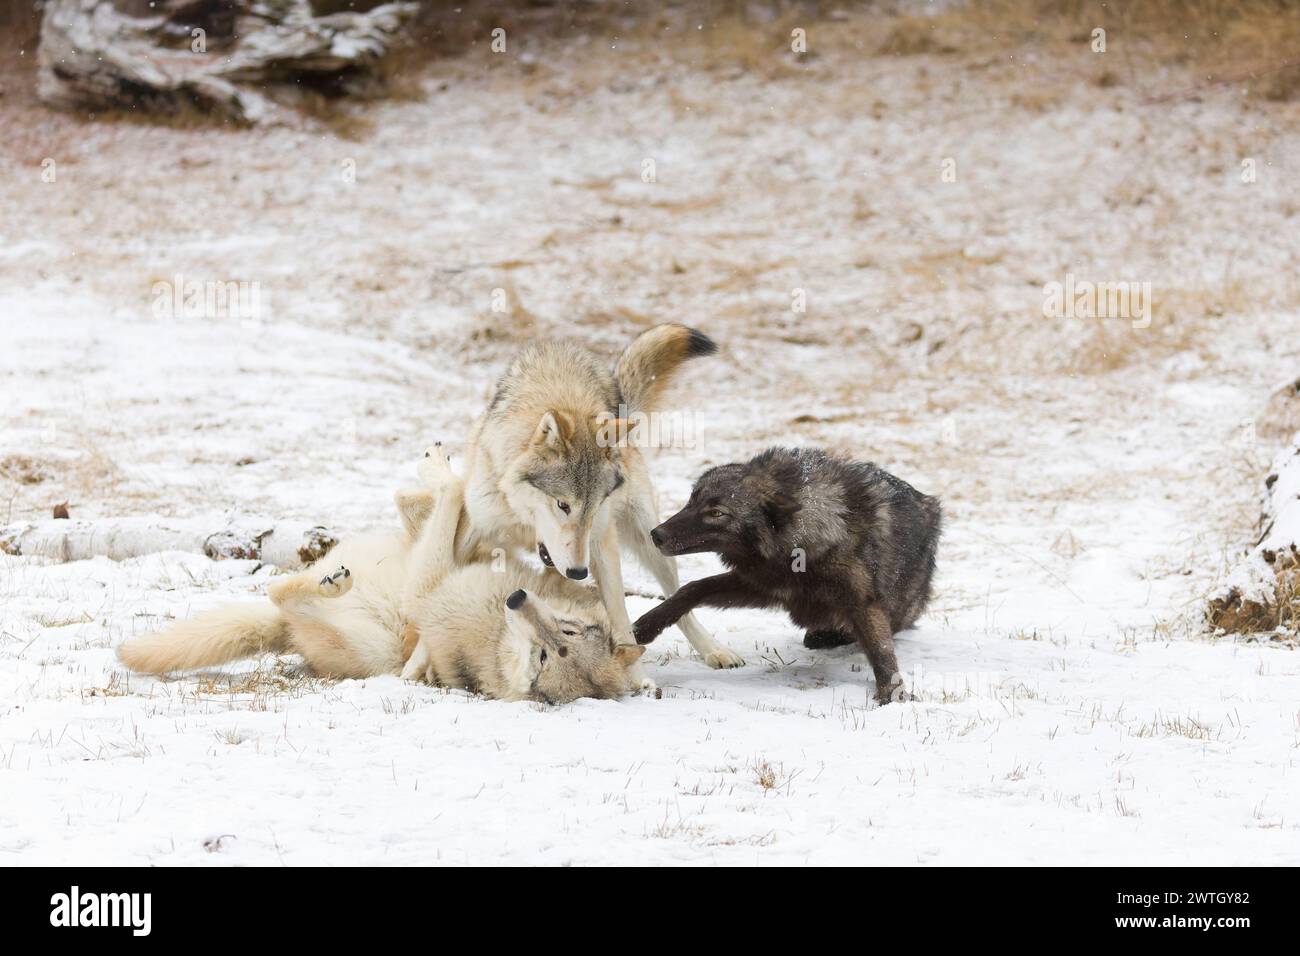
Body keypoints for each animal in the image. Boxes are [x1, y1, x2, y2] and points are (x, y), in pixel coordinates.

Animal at [117, 450, 645, 704]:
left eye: (545, 658)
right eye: (567, 631)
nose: (515, 600)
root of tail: (288, 632)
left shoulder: (429, 586)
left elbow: (448, 499)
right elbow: (439, 507)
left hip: (363, 645)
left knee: (278, 590)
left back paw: (334, 585)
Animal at [453, 324, 744, 670]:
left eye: (593, 509)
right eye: (563, 505)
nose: (579, 572)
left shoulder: (602, 542)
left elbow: (619, 617)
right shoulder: (478, 528)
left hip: (652, 542)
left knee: (677, 598)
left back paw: (714, 650)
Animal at [633, 447, 941, 703]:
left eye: (717, 512)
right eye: (691, 501)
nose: (656, 535)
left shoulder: (861, 601)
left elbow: (880, 649)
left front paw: (893, 694)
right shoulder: (764, 585)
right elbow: (694, 588)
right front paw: (645, 626)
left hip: (898, 604)